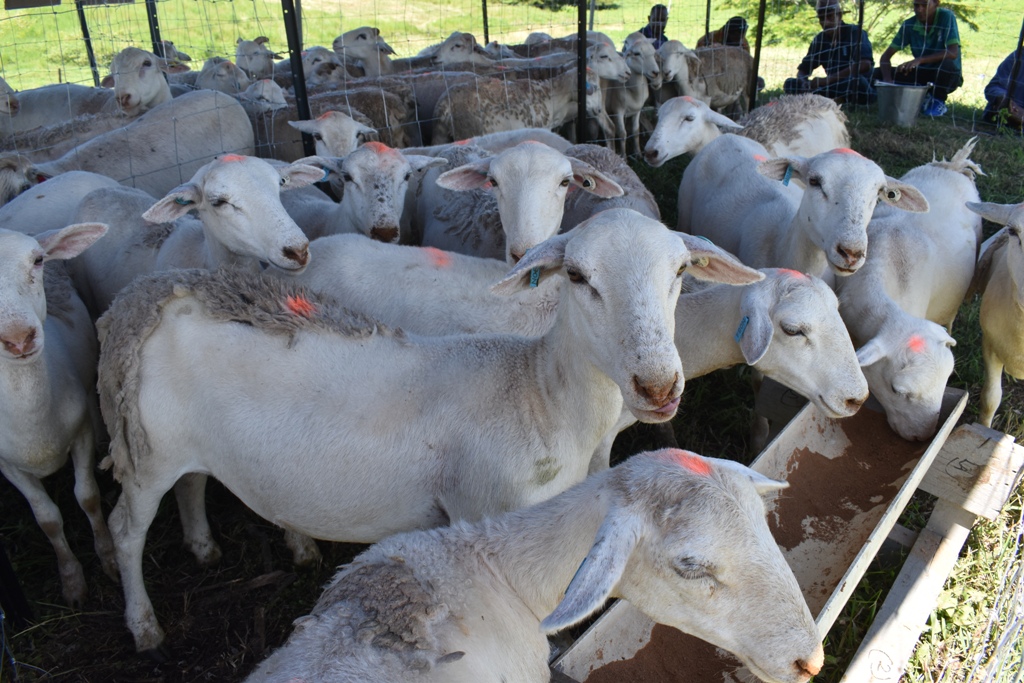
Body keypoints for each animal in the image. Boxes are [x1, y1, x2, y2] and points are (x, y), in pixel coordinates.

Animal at [0, 222, 119, 606]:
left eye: (38, 260)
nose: (18, 338)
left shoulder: (79, 433)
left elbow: (87, 497)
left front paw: (108, 557)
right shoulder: (7, 466)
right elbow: (47, 518)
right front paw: (71, 581)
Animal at [97, 208, 762, 654]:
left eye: (681, 270)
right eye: (576, 276)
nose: (658, 385)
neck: (538, 396)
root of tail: (146, 298)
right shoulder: (484, 514)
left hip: (183, 447)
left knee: (194, 484)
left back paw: (209, 546)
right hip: (146, 453)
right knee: (126, 530)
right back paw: (143, 625)